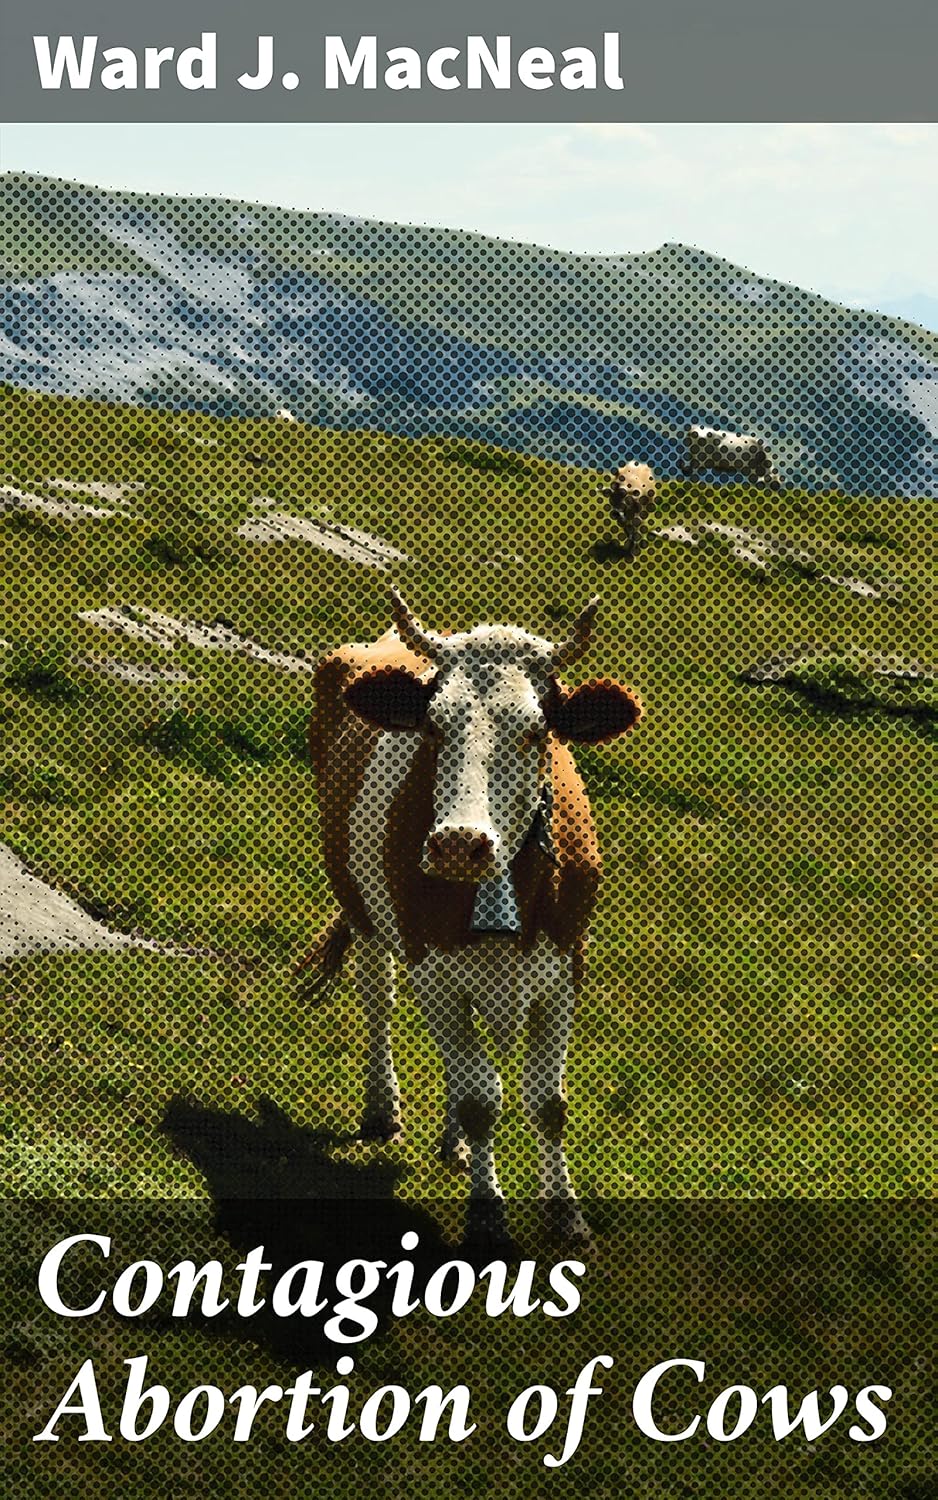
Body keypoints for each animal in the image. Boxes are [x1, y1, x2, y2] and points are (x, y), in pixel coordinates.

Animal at [301, 590, 642, 1246]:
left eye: (536, 732)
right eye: (434, 726)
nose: (460, 844)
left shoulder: (566, 965)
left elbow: (547, 1101)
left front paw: (565, 1210)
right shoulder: (432, 969)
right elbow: (483, 1098)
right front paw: (487, 1215)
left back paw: (454, 1144)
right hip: (366, 914)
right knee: (379, 998)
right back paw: (383, 1110)